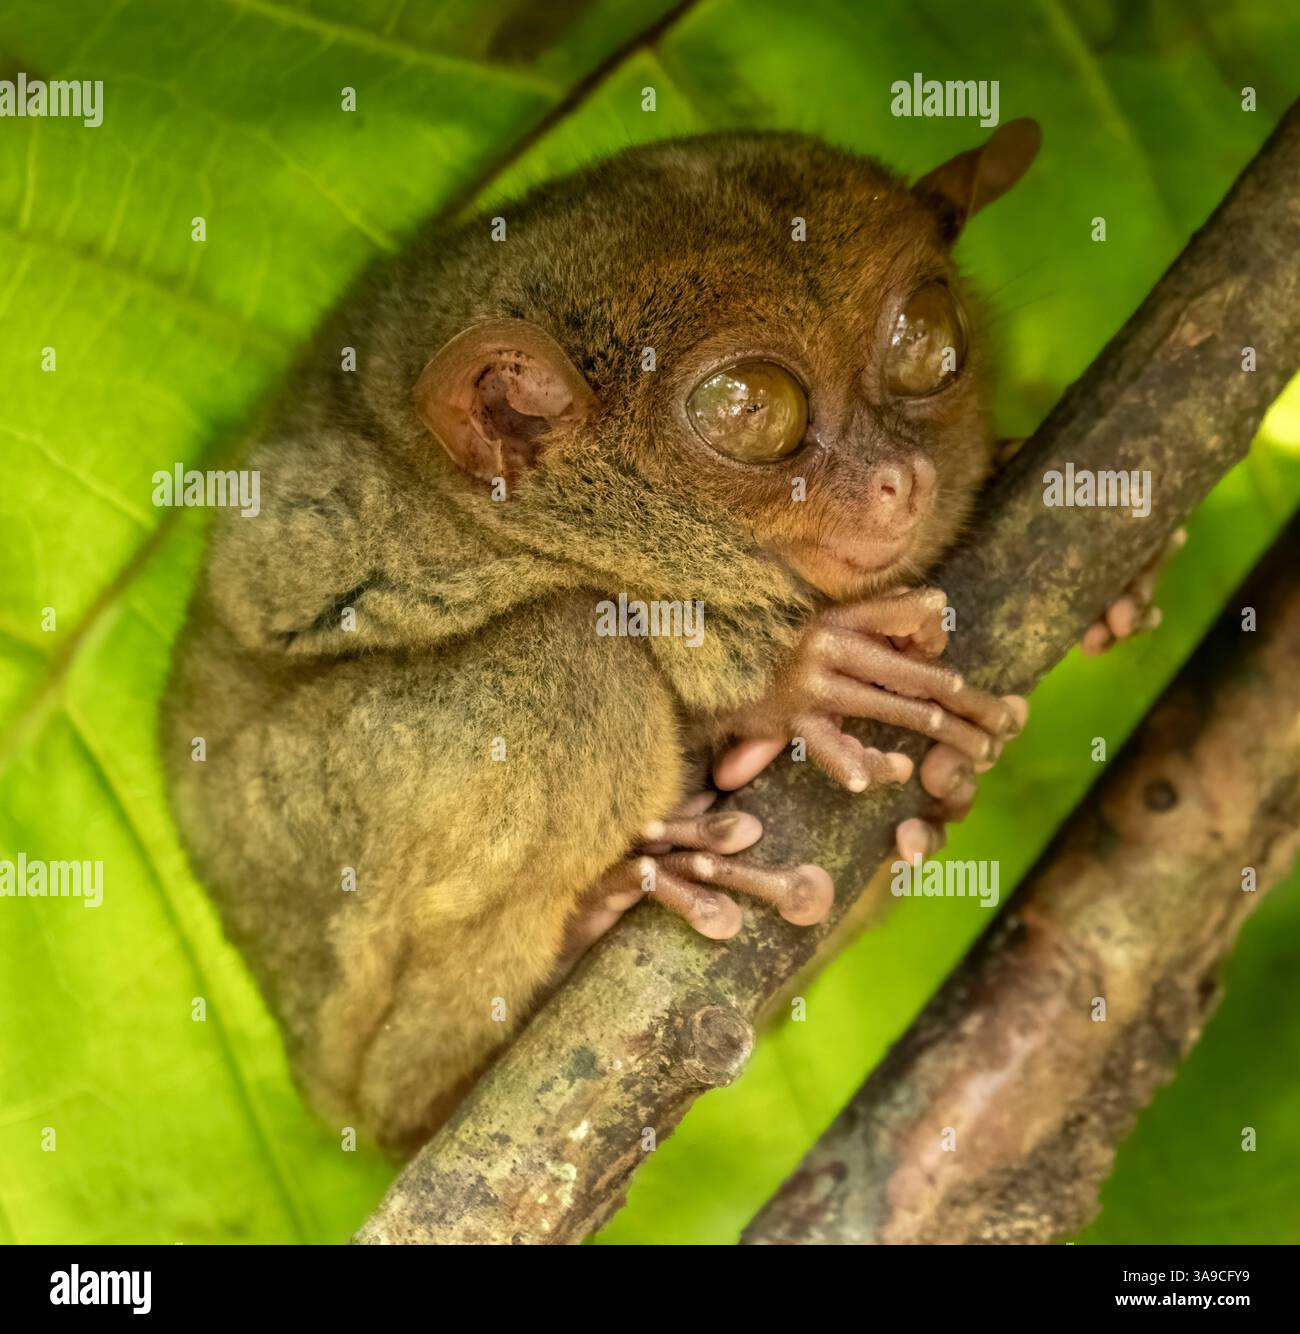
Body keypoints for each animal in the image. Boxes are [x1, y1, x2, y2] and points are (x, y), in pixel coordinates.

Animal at [163, 119, 1151, 1158]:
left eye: (927, 343)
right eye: (750, 410)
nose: (901, 479)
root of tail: (321, 1089)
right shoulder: (372, 532)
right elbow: (334, 587)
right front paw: (801, 679)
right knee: (568, 656)